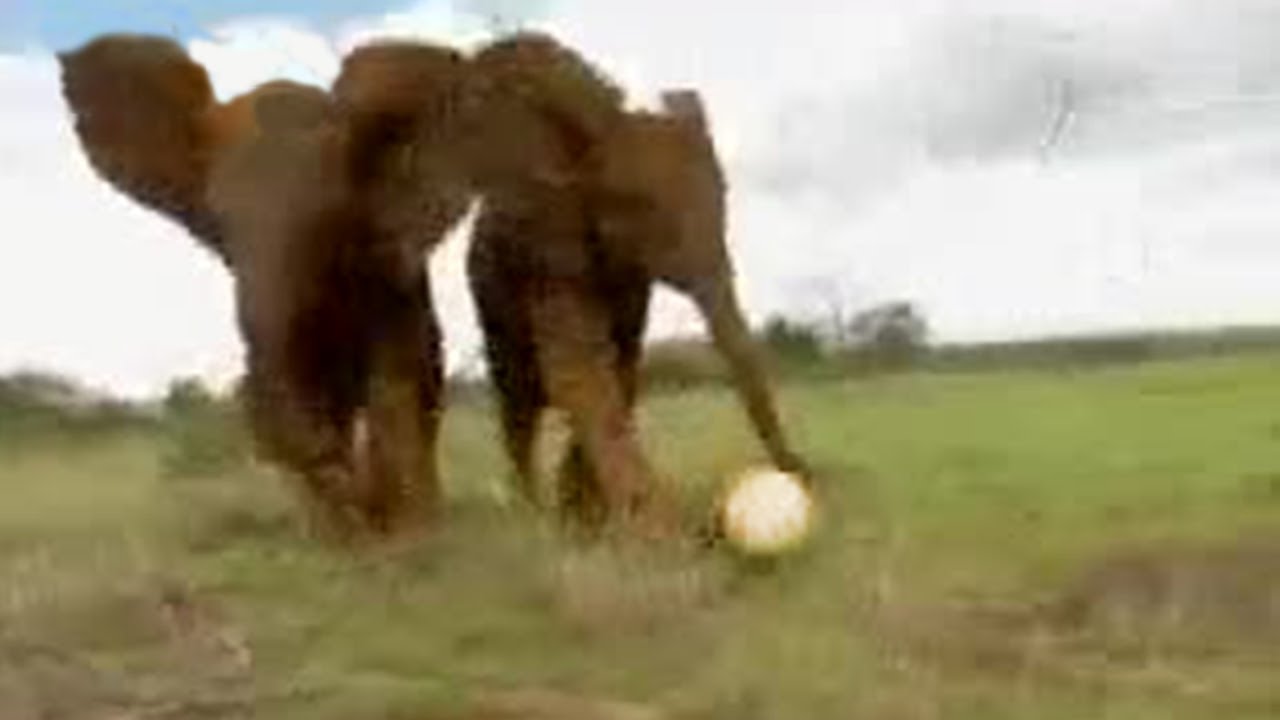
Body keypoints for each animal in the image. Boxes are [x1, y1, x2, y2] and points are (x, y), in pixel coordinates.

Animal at [57, 34, 476, 541]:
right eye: (217, 227)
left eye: (337, 215)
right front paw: (346, 536)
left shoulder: (390, 268)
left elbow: (400, 379)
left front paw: (408, 536)